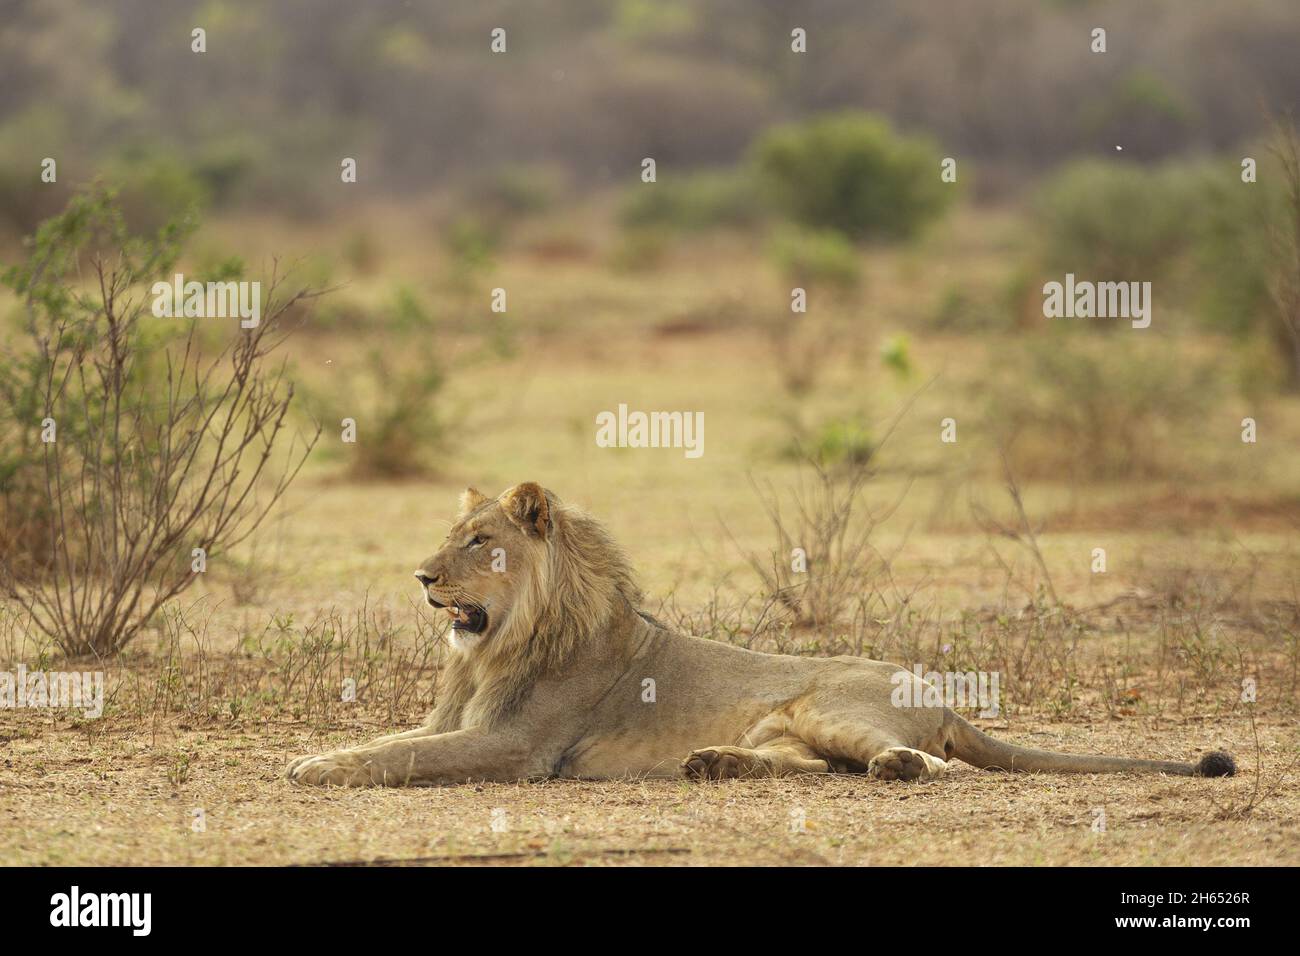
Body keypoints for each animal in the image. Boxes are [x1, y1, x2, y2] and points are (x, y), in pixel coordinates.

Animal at [287, 482, 1236, 787]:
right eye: (452, 536)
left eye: (481, 541)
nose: (422, 578)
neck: (494, 646)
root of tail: (938, 693)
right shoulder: (462, 722)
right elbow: (392, 740)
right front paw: (315, 757)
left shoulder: (518, 747)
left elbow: (403, 756)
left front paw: (317, 771)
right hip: (789, 726)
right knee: (813, 768)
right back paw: (716, 763)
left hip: (828, 706)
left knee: (930, 768)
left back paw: (901, 766)